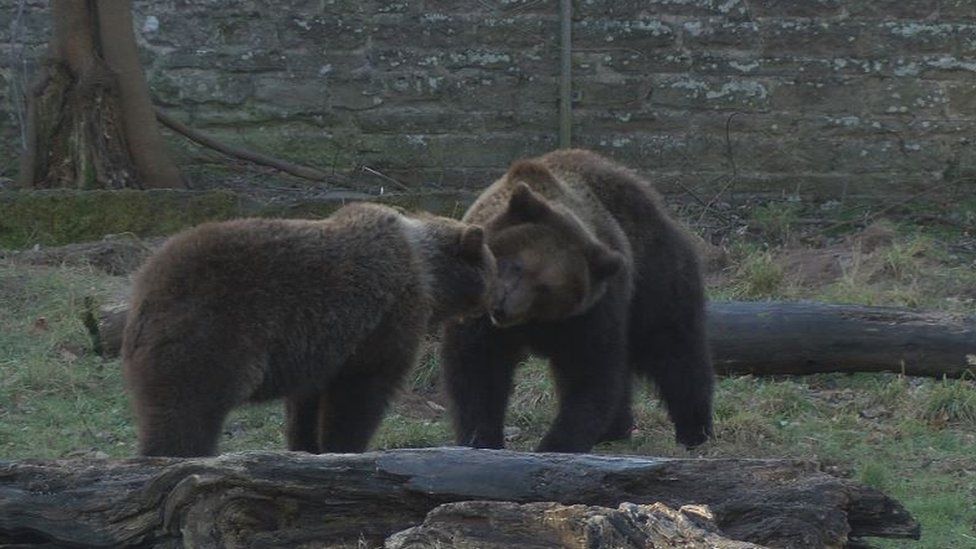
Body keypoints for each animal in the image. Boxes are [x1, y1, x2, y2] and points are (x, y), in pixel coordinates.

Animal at [122, 202, 495, 457]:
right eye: (494, 272)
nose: (495, 309)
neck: (429, 274)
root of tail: (147, 282)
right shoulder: (383, 321)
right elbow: (362, 392)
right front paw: (345, 445)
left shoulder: (319, 348)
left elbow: (306, 405)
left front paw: (306, 446)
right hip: (213, 331)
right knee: (186, 407)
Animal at [440, 149, 714, 453]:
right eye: (516, 265)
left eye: (545, 289)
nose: (501, 308)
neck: (534, 324)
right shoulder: (476, 308)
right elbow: (477, 368)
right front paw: (480, 438)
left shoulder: (591, 313)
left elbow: (590, 372)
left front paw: (556, 444)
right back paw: (615, 429)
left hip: (653, 270)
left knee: (674, 345)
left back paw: (694, 429)